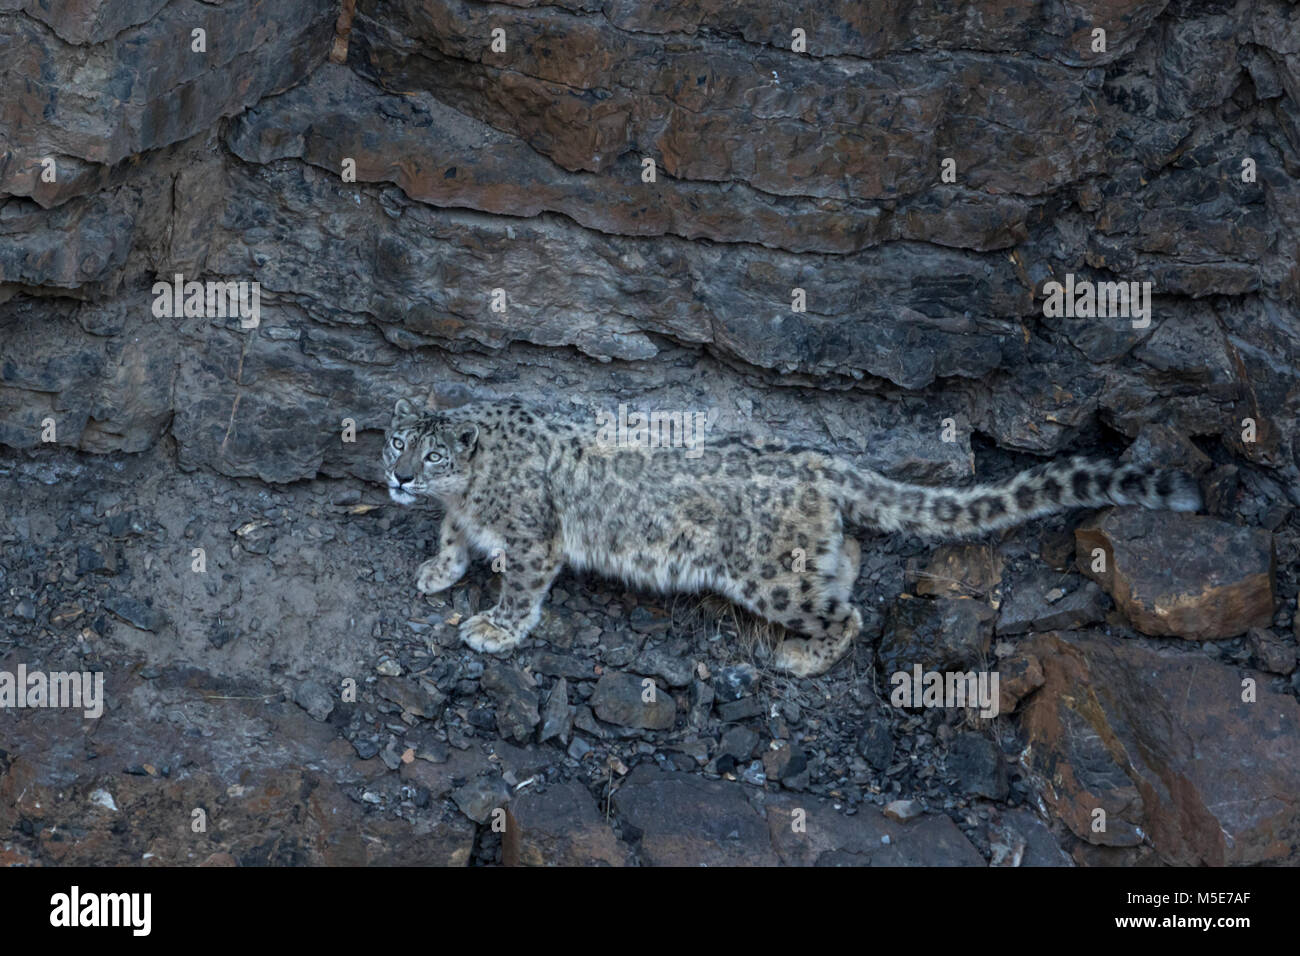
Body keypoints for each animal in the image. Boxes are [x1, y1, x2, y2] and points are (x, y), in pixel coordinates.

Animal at [382, 397, 1201, 677]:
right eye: (394, 440)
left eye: (432, 453)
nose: (396, 477)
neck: (469, 488)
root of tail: (814, 461)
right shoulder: (460, 517)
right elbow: (452, 536)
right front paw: (435, 569)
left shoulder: (534, 539)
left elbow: (521, 586)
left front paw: (492, 628)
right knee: (851, 558)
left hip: (768, 576)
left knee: (848, 613)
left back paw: (803, 658)